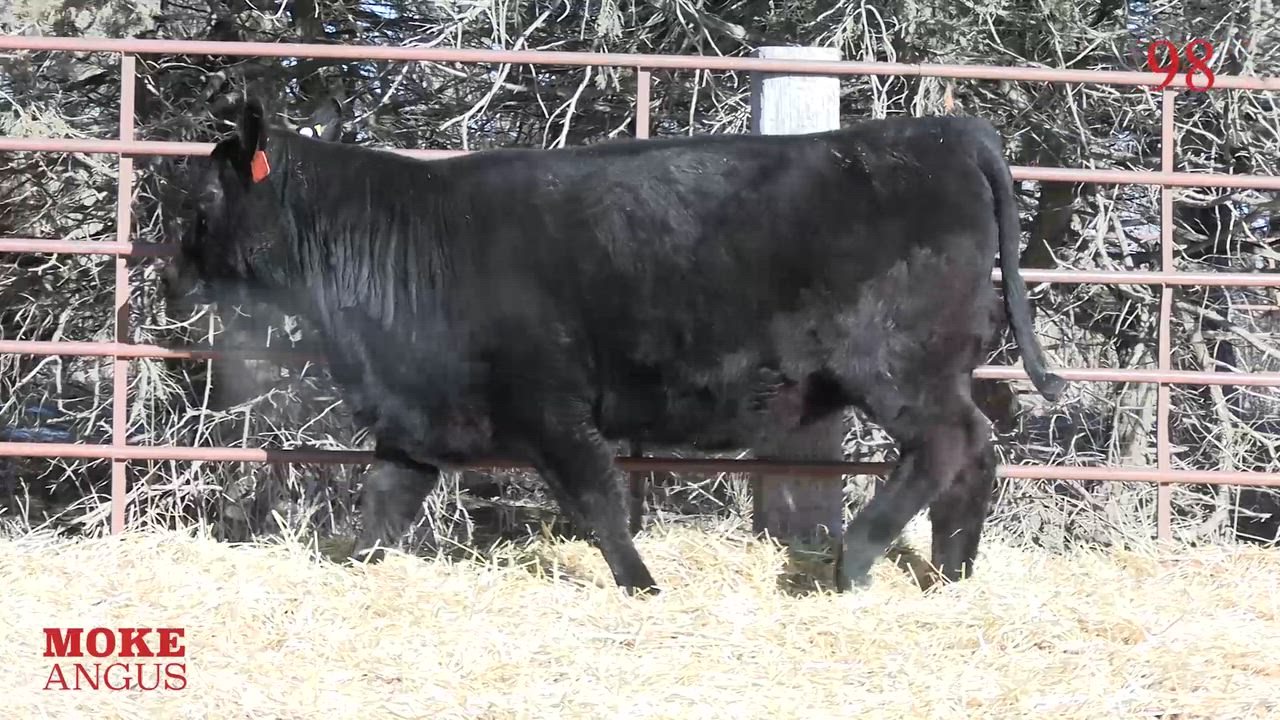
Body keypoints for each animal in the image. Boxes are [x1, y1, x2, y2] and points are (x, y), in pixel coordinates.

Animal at [161, 96, 1065, 596]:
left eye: (200, 203)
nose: (171, 275)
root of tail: (946, 131)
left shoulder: (551, 406)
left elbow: (596, 502)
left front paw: (643, 587)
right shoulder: (416, 417)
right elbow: (382, 506)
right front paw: (348, 569)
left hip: (898, 364)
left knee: (950, 442)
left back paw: (856, 560)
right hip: (938, 366)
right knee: (978, 450)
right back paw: (952, 570)